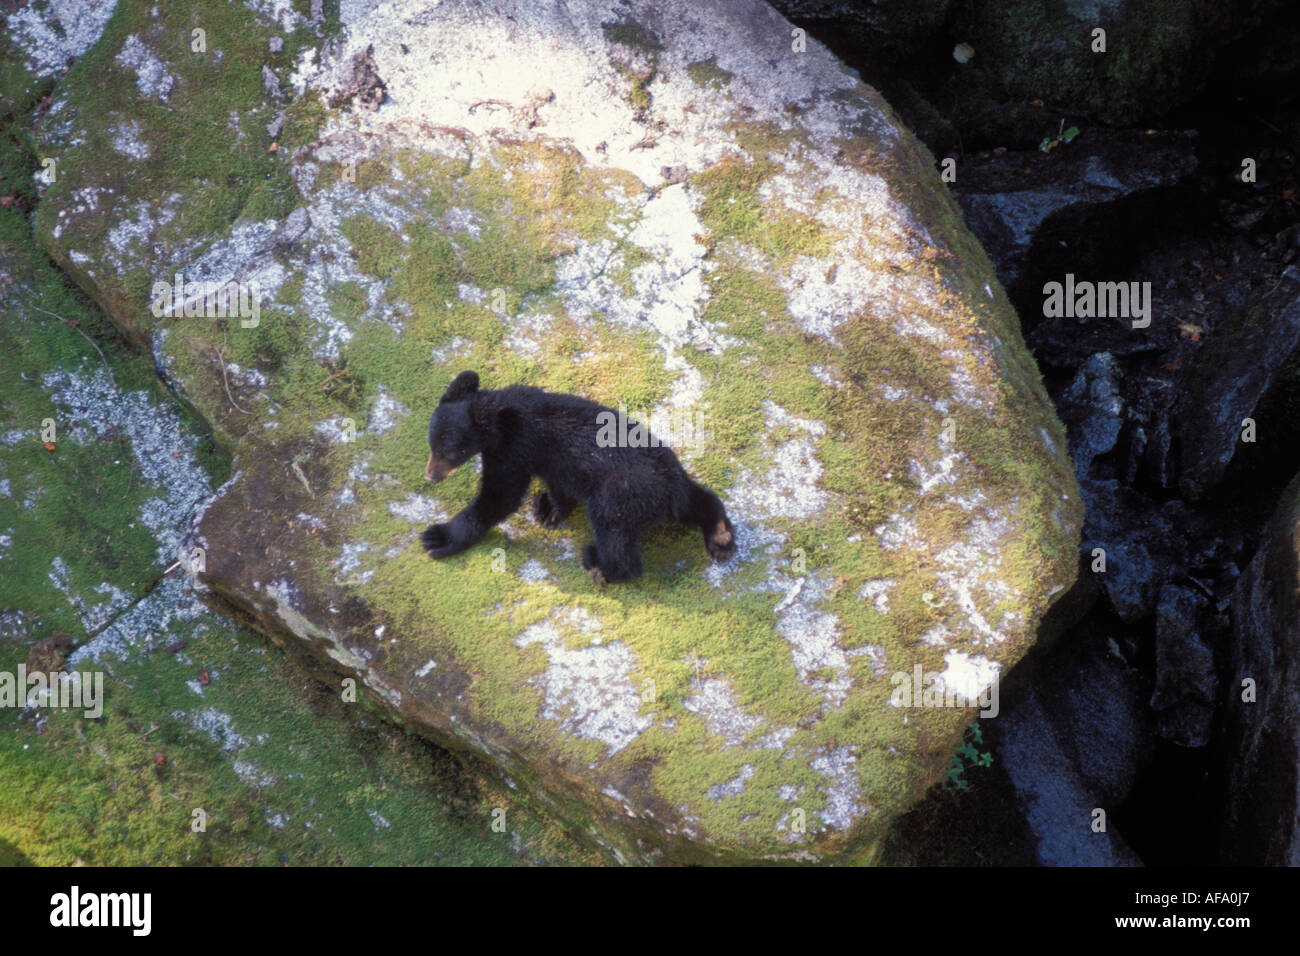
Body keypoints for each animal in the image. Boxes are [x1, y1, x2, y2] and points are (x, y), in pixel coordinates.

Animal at [420, 370, 736, 585]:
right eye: (432, 443)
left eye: (450, 450)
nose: (430, 476)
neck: (501, 421)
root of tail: (671, 492)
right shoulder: (550, 461)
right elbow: (556, 485)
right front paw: (549, 507)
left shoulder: (514, 450)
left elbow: (499, 497)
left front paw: (438, 537)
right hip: (670, 480)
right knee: (698, 500)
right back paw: (719, 536)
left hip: (619, 496)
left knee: (614, 536)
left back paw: (600, 564)